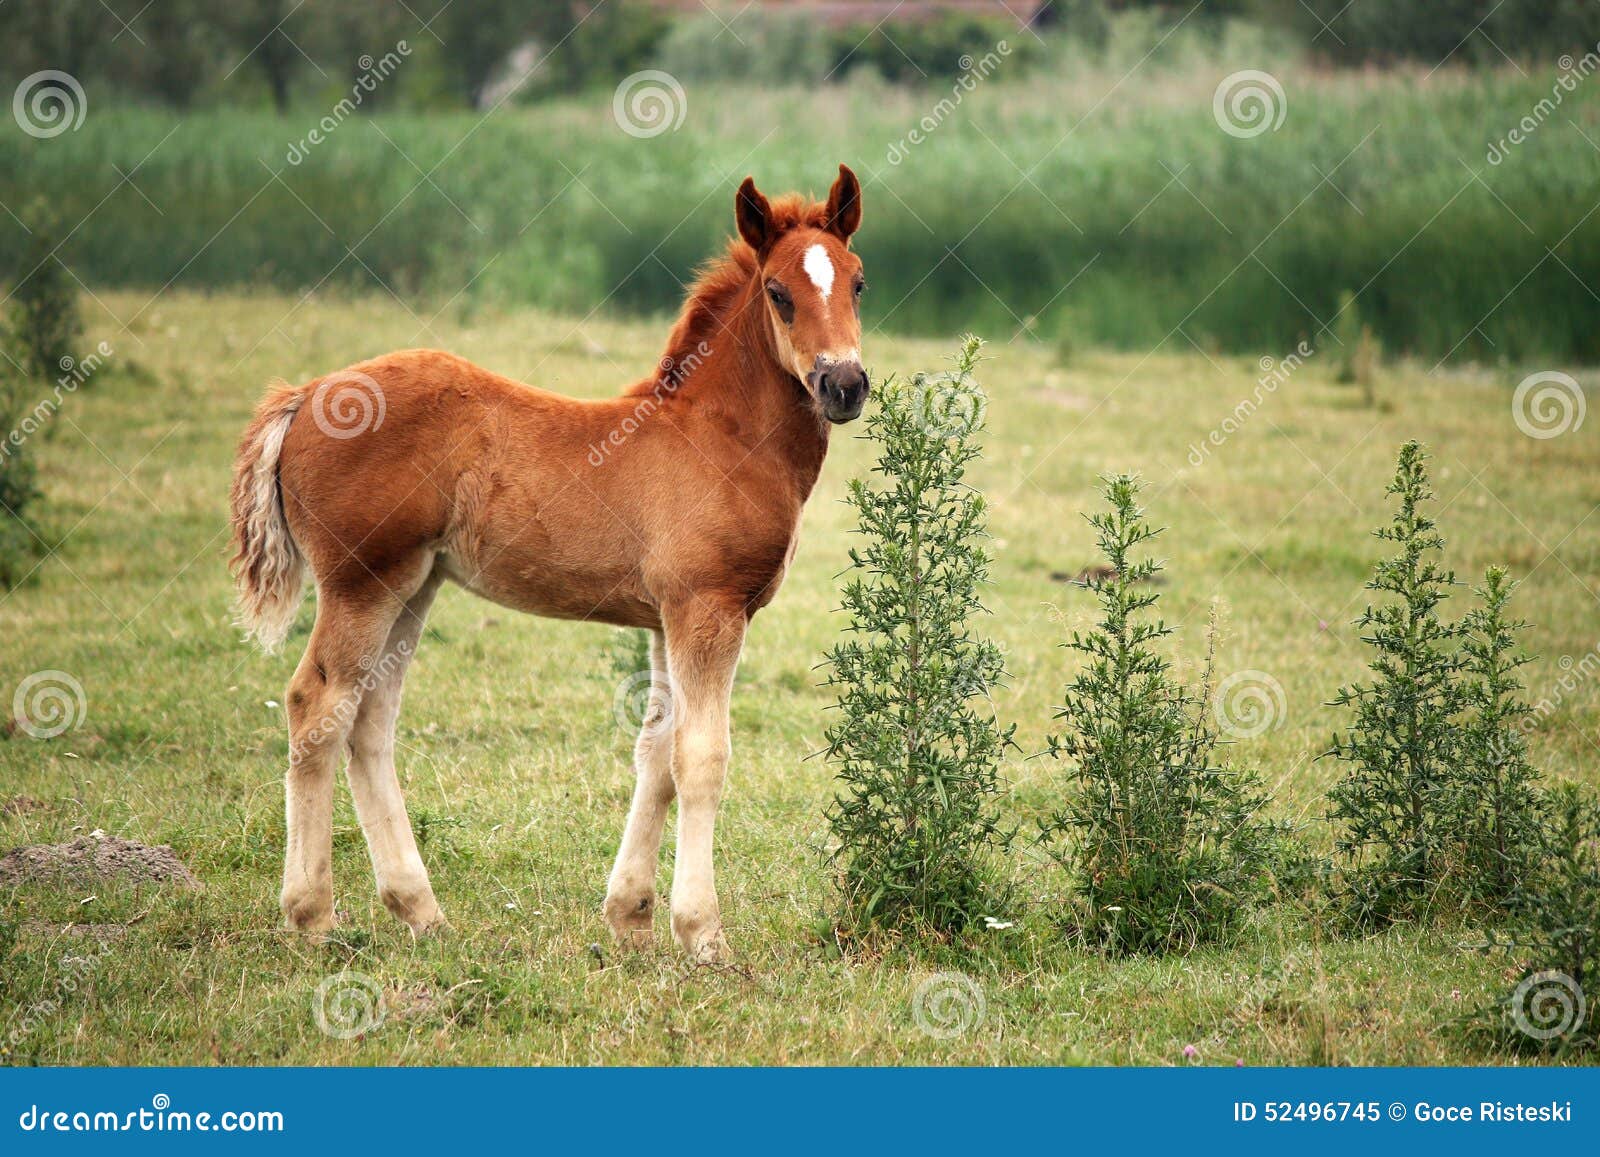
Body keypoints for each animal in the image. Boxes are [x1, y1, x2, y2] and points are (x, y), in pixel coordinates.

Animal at [229, 165, 869, 962]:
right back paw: (312, 914)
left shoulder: (664, 618)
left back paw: (420, 909)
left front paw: (629, 917)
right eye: (780, 292)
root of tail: (304, 395)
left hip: (413, 585)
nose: (845, 385)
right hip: (361, 581)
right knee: (316, 708)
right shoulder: (708, 607)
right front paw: (703, 934)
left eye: (858, 282)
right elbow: (700, 759)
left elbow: (655, 752)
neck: (717, 440)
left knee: (369, 721)